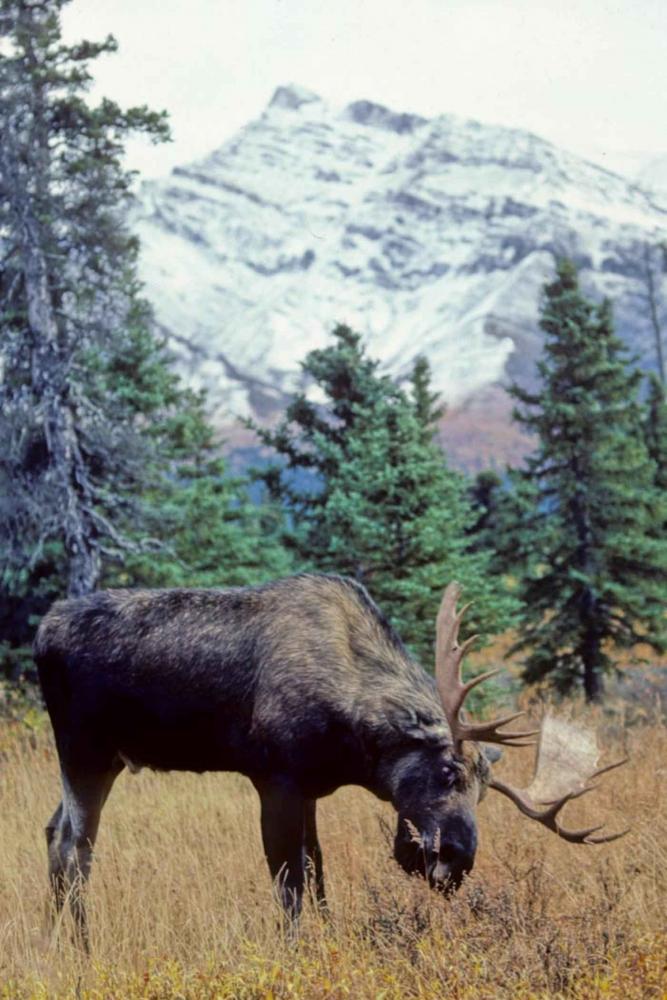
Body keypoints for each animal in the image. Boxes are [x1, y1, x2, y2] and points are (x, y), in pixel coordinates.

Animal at [34, 574, 627, 945]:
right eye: (446, 770)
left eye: (483, 792)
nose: (458, 859)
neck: (354, 736)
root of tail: (42, 630)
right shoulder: (274, 778)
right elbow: (290, 885)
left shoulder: (311, 790)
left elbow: (319, 877)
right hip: (84, 750)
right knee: (73, 844)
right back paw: (83, 947)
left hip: (103, 760)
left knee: (51, 829)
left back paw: (54, 939)